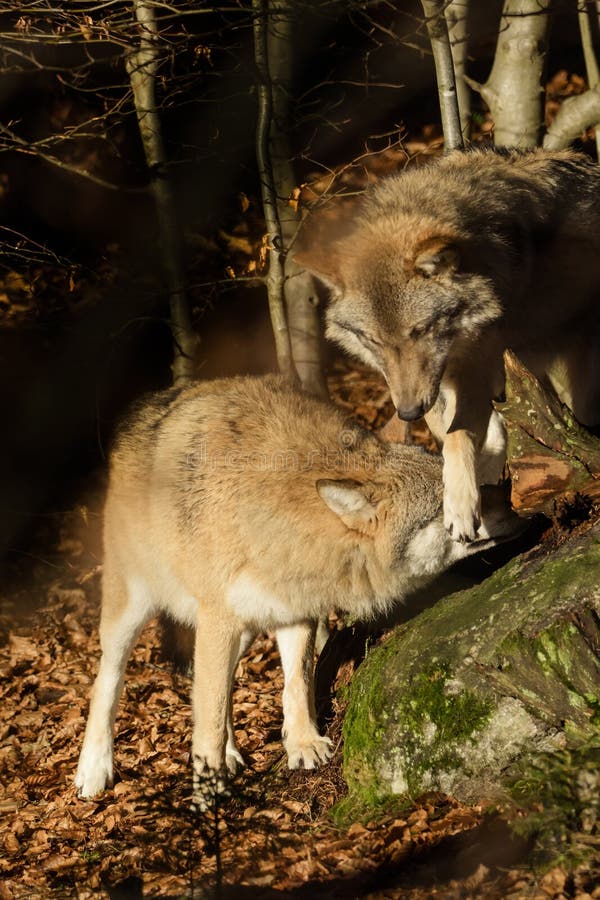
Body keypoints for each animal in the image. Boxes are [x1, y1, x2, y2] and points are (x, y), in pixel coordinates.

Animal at [74, 375, 518, 800]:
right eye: (452, 510)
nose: (514, 508)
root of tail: (146, 405)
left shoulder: (295, 612)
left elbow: (295, 685)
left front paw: (303, 745)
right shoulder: (221, 619)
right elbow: (210, 716)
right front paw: (209, 788)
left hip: (243, 631)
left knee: (223, 688)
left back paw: (232, 751)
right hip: (133, 611)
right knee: (107, 682)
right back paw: (93, 770)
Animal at [296, 148, 600, 541]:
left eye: (421, 330)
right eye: (374, 340)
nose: (408, 413)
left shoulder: (479, 370)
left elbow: (459, 436)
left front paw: (460, 506)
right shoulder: (437, 387)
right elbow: (447, 434)